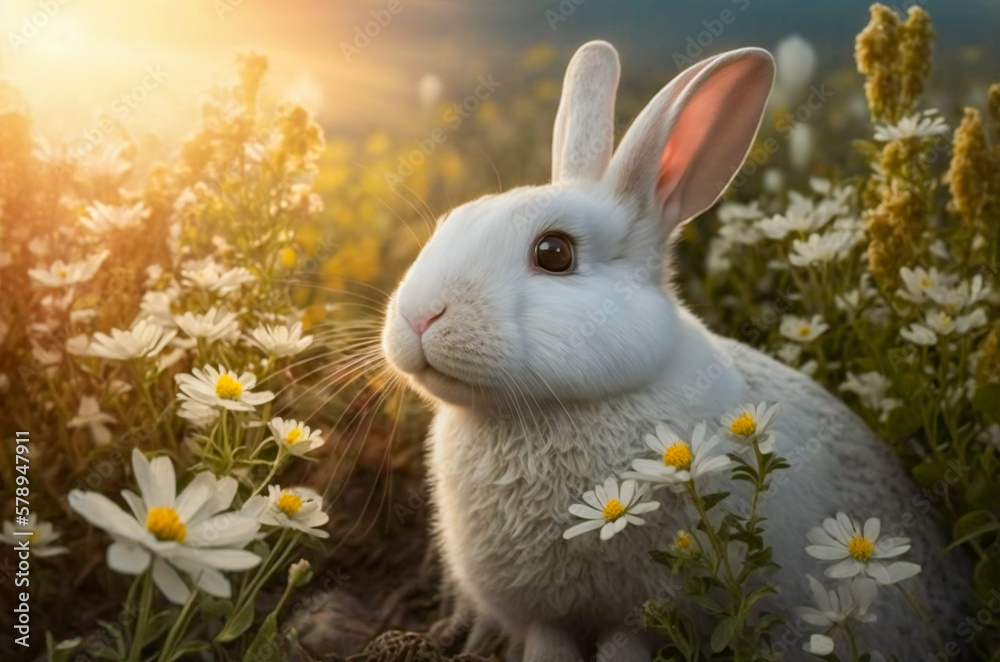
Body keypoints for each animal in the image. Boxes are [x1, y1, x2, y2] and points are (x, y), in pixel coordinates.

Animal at [380, 41, 970, 662]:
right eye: (452, 220)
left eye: (554, 252)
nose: (419, 316)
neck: (534, 415)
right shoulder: (548, 617)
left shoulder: (636, 616)